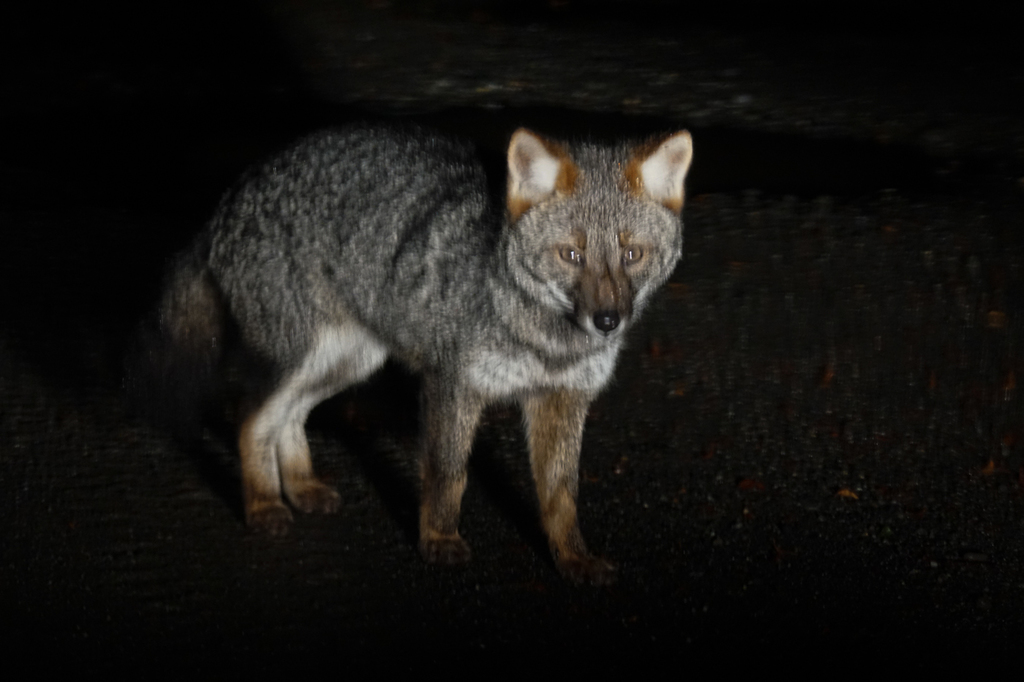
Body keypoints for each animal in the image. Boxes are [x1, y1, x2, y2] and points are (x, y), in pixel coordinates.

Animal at [147, 124, 692, 584]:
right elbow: (449, 475)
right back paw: (263, 505)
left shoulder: (563, 399)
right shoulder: (451, 384)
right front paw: (439, 540)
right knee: (250, 419)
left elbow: (561, 497)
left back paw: (300, 487)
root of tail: (229, 199)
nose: (608, 321)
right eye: (571, 256)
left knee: (289, 416)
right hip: (301, 357)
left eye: (632, 255)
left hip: (344, 362)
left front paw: (573, 558)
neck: (546, 341)